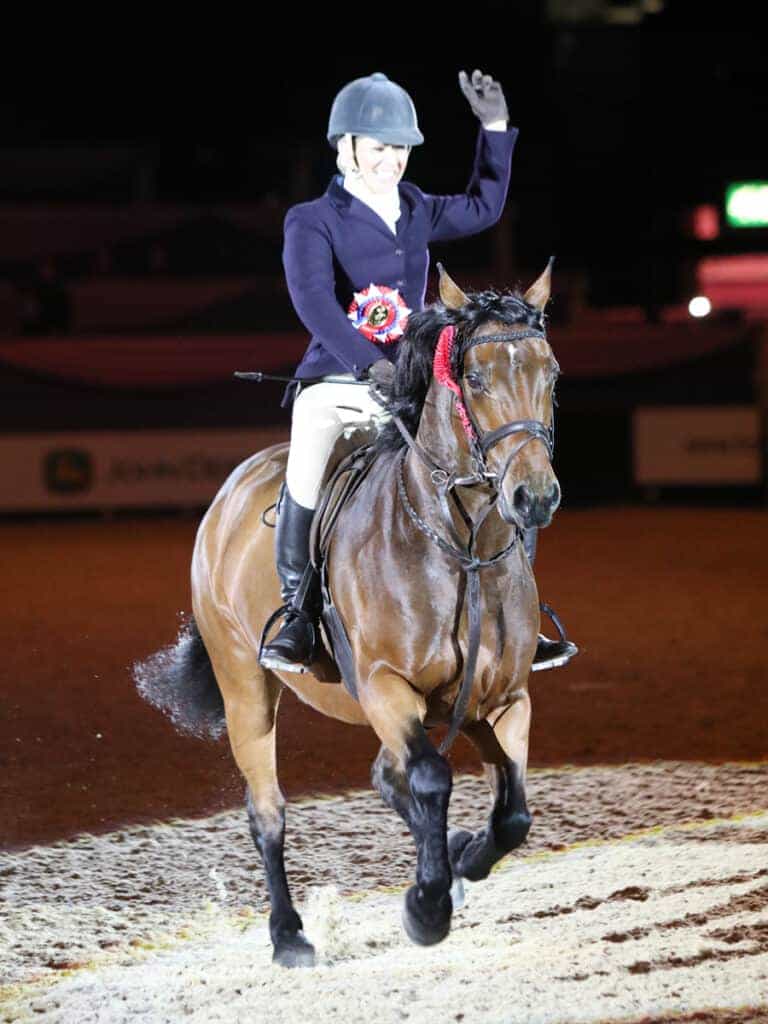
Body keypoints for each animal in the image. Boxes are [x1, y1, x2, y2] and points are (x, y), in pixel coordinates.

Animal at [135, 262, 561, 967]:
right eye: (475, 379)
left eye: (550, 373)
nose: (534, 497)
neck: (460, 547)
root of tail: (229, 493)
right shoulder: (388, 686)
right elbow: (430, 777)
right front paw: (426, 908)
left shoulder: (503, 699)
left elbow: (513, 811)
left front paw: (462, 861)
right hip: (244, 686)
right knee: (269, 810)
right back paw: (289, 936)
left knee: (392, 778)